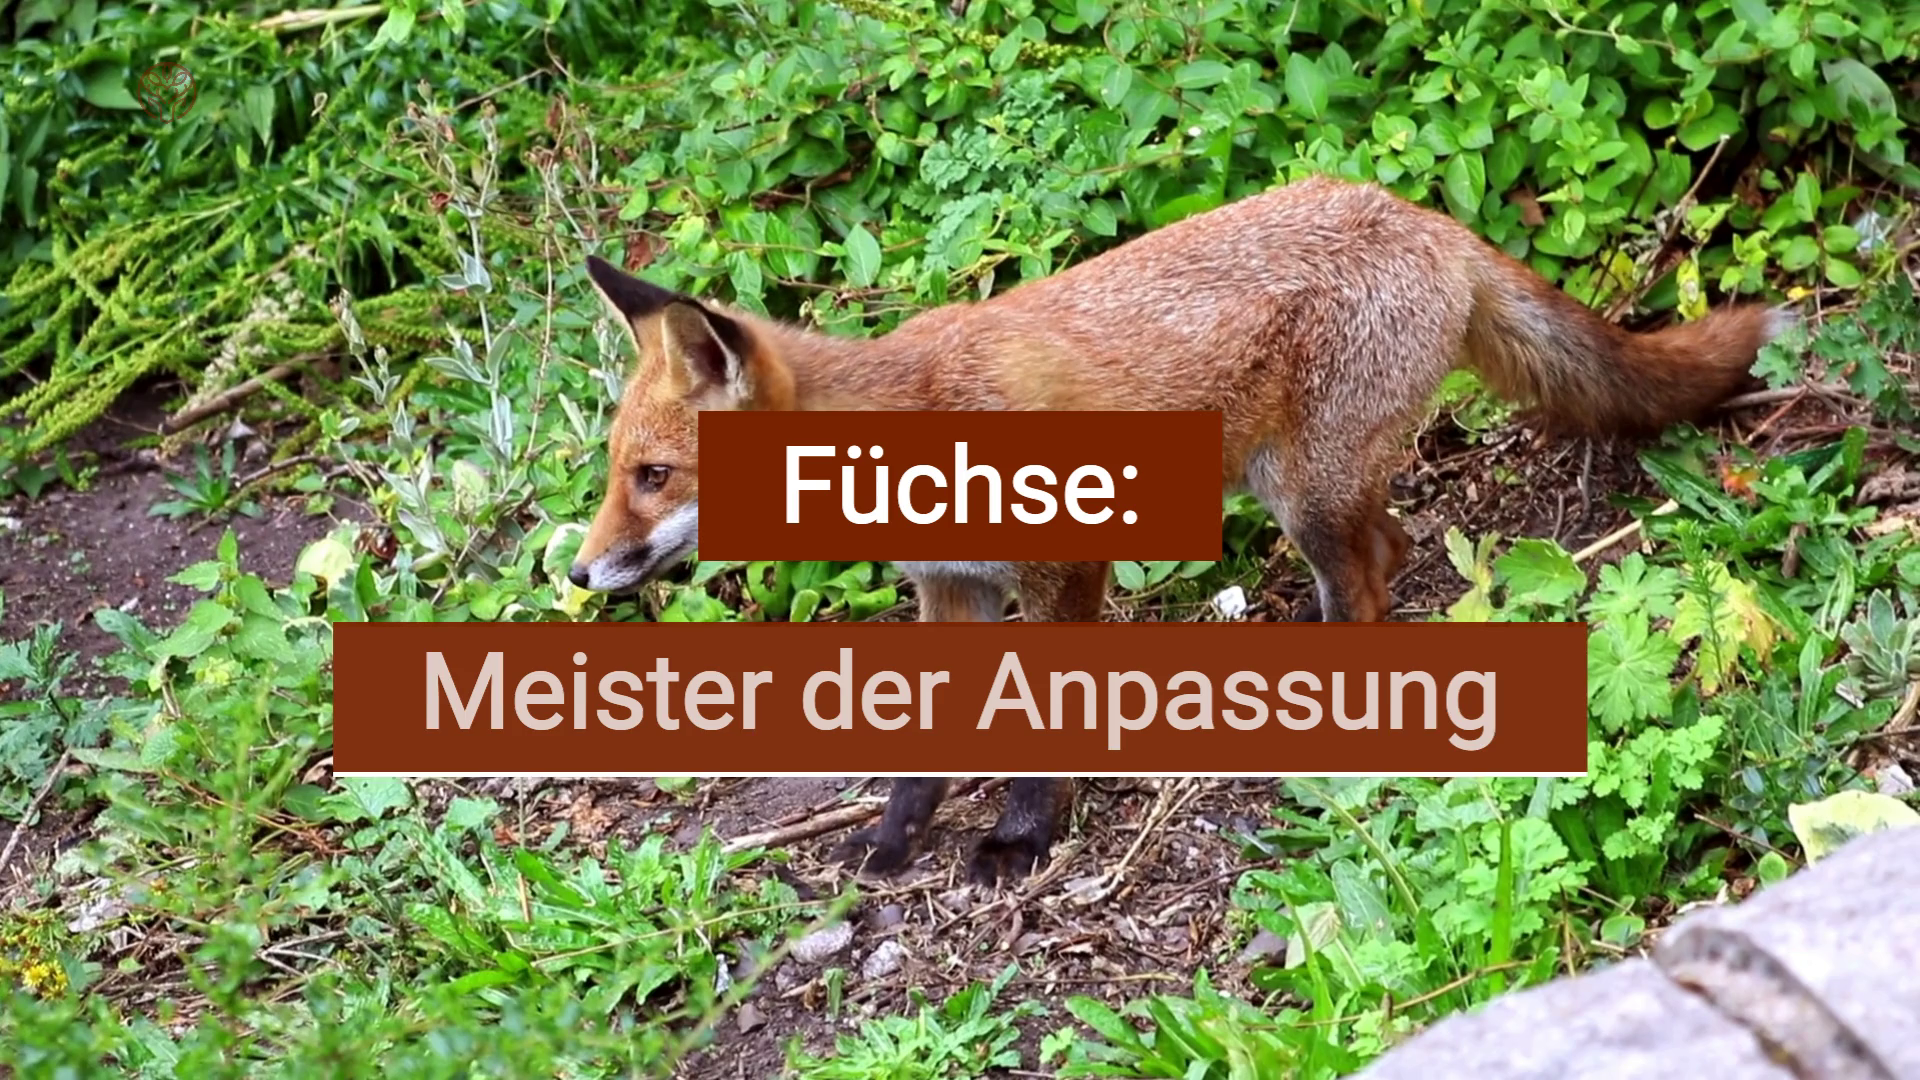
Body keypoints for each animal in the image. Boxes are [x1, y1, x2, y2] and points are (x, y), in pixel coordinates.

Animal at [566, 173, 1794, 885]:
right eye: (617, 474)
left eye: (654, 476)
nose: (578, 575)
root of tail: (1418, 212)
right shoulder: (952, 588)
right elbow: (919, 757)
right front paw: (890, 842)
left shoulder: (1065, 567)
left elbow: (1039, 739)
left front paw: (1020, 841)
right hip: (1306, 485)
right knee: (1394, 555)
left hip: (1306, 495)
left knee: (1370, 591)